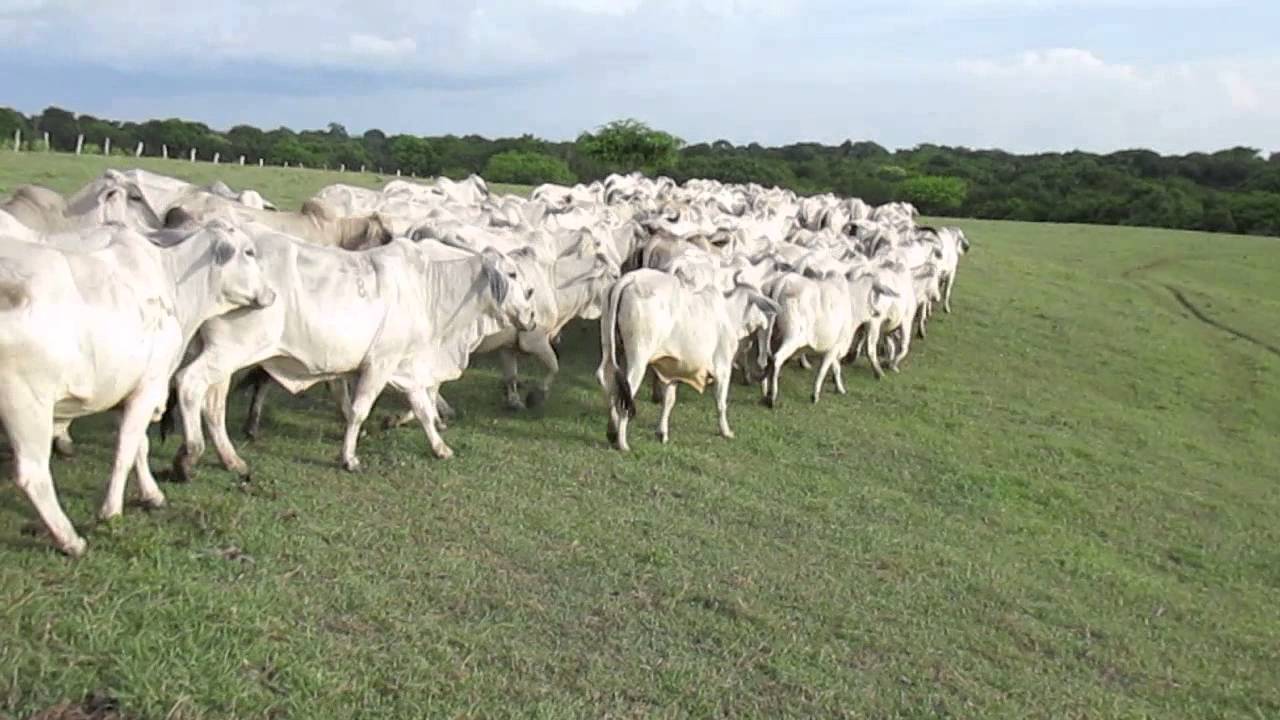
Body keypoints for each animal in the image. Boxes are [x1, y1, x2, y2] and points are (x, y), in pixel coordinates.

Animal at [0, 221, 275, 556]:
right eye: (249, 252)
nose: (272, 293)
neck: (173, 284)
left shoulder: (127, 389)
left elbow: (140, 446)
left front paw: (151, 494)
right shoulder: (149, 386)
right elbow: (126, 448)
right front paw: (111, 511)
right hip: (27, 404)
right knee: (33, 474)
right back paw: (71, 541)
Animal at [597, 269, 778, 451]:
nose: (768, 320)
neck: (729, 313)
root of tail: (631, 278)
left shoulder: (673, 369)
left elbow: (668, 401)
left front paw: (662, 433)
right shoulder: (723, 369)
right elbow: (721, 402)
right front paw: (726, 431)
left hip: (612, 348)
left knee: (608, 380)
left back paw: (611, 431)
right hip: (639, 357)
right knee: (625, 393)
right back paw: (622, 443)